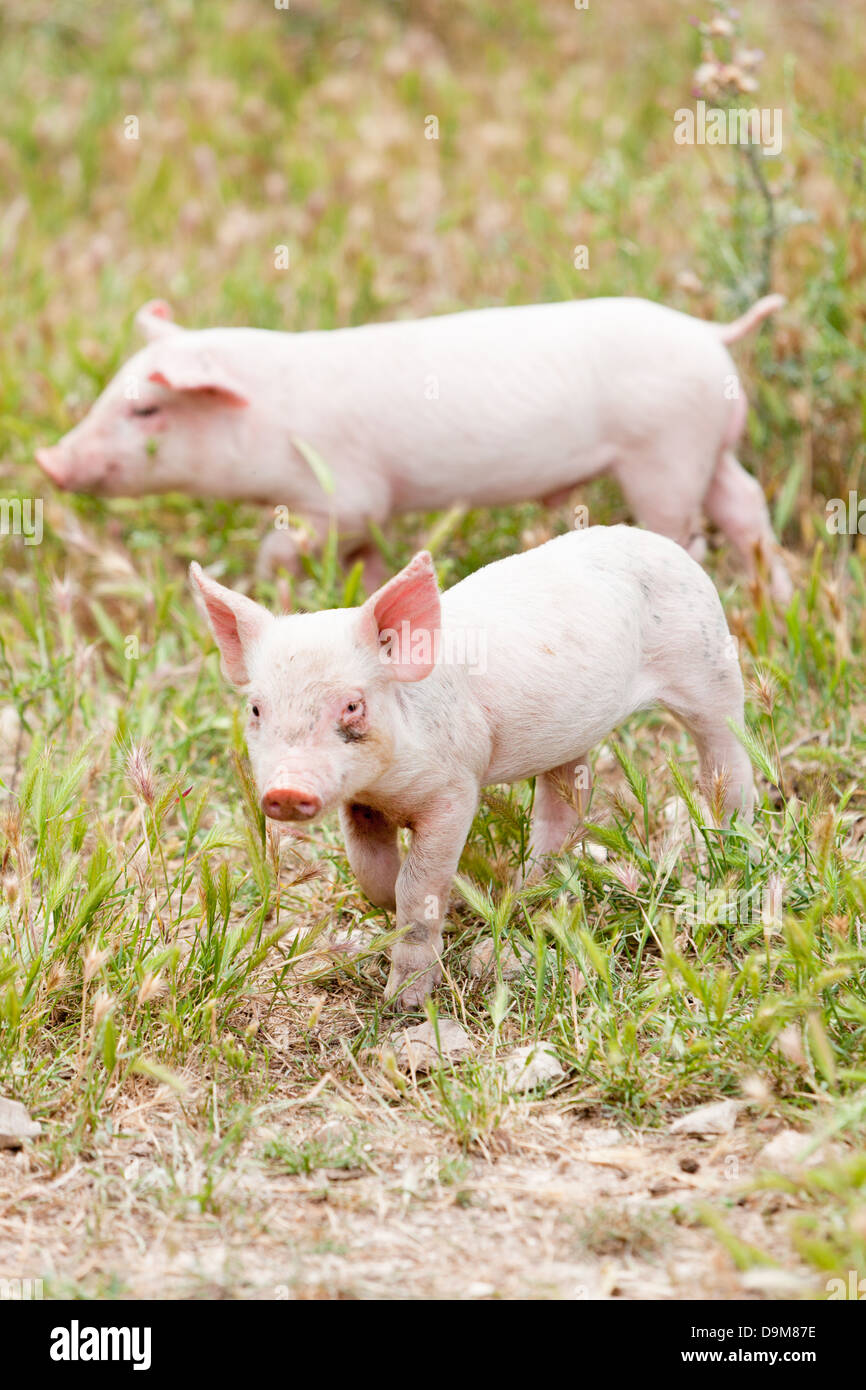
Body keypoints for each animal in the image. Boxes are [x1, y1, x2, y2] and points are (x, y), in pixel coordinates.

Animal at [38, 293, 792, 601]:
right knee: (746, 503)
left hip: (663, 451)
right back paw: (777, 601)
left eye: (145, 408)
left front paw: (271, 584)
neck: (269, 415)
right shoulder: (366, 515)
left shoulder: (344, 495)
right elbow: (368, 564)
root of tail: (711, 332)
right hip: (707, 447)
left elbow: (285, 546)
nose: (49, 462)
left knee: (686, 527)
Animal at [190, 524, 755, 1008]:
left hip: (709, 666)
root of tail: (663, 544)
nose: (286, 791)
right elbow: (371, 872)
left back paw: (726, 847)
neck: (390, 788)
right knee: (567, 799)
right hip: (573, 736)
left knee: (727, 755)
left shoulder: (455, 790)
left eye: (352, 705)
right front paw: (455, 906)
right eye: (256, 709)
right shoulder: (361, 803)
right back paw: (525, 891)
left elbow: (418, 883)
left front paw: (404, 1001)